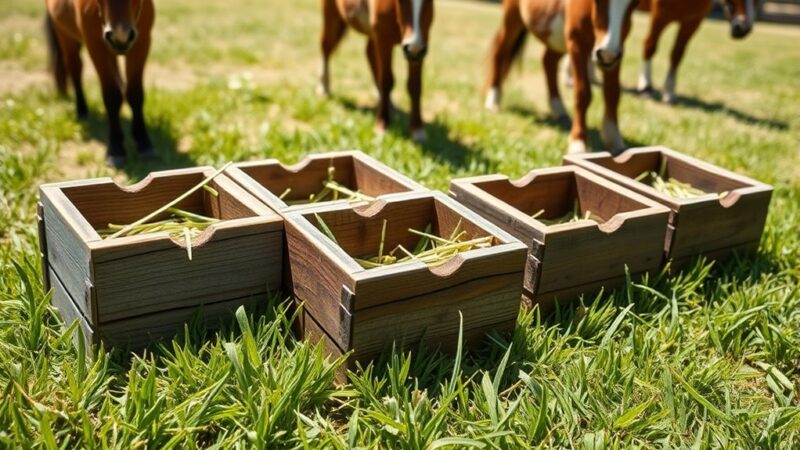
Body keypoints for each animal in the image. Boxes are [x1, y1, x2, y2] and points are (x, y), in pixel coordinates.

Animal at [45, 0, 155, 168]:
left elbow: (135, 94)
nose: (120, 36)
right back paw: (82, 111)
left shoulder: (141, 43)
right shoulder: (96, 46)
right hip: (64, 35)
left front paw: (144, 143)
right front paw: (116, 149)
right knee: (75, 69)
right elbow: (112, 97)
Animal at [319, 0, 434, 142]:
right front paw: (382, 125)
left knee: (369, 53)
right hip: (331, 14)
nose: (413, 47)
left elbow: (415, 86)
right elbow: (386, 81)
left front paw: (417, 129)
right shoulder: (383, 39)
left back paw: (389, 104)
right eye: (400, 1)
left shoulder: (422, 44)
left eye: (429, 2)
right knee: (325, 46)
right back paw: (324, 87)